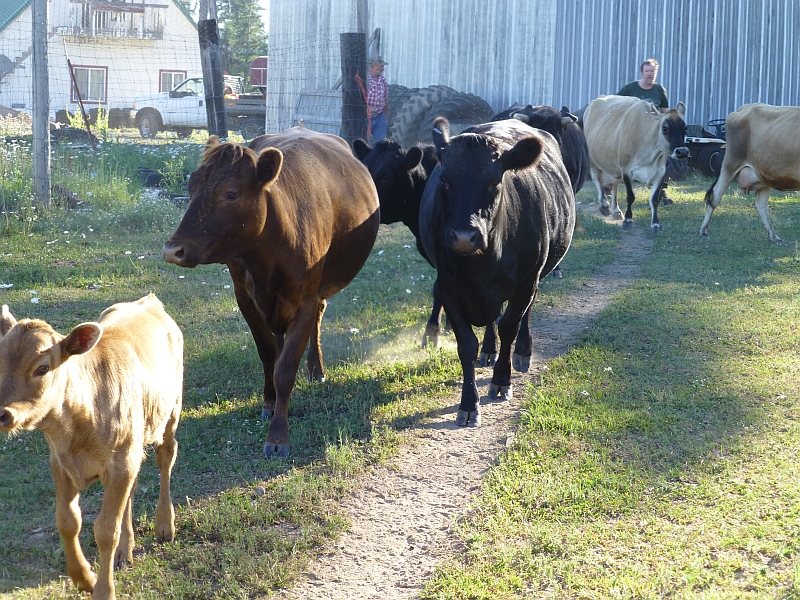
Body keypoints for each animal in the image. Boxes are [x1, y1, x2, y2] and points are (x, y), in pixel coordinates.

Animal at [0, 295, 183, 600]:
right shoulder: (60, 462)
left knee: (166, 456)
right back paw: (125, 550)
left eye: (42, 368)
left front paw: (103, 590)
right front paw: (84, 577)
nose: (2, 413)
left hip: (170, 411)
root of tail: (149, 300)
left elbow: (105, 531)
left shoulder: (119, 464)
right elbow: (68, 520)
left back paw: (164, 525)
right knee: (133, 487)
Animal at [164, 129, 380, 458]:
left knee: (316, 320)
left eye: (231, 193)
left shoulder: (305, 301)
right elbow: (268, 354)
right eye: (191, 187)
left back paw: (316, 369)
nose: (173, 250)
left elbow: (286, 368)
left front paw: (278, 437)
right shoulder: (246, 299)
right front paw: (269, 402)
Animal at [420, 118, 575, 427]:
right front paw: (469, 404)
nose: (464, 236)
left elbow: (509, 327)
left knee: (525, 314)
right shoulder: (449, 286)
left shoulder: (526, 282)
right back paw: (489, 350)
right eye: (444, 180)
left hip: (535, 278)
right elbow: (467, 344)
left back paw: (523, 352)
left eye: (494, 182)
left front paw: (502, 381)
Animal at [583, 95, 689, 231]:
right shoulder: (626, 171)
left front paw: (655, 223)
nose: (683, 152)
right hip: (593, 161)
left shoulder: (660, 173)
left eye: (685, 128)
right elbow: (630, 196)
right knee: (597, 180)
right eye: (665, 128)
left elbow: (654, 199)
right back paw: (604, 206)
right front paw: (628, 220)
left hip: (614, 167)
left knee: (614, 186)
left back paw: (616, 210)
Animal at [700, 103, 800, 243]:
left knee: (761, 204)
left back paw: (773, 236)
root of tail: (746, 106)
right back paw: (703, 230)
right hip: (730, 163)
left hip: (764, 175)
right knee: (715, 196)